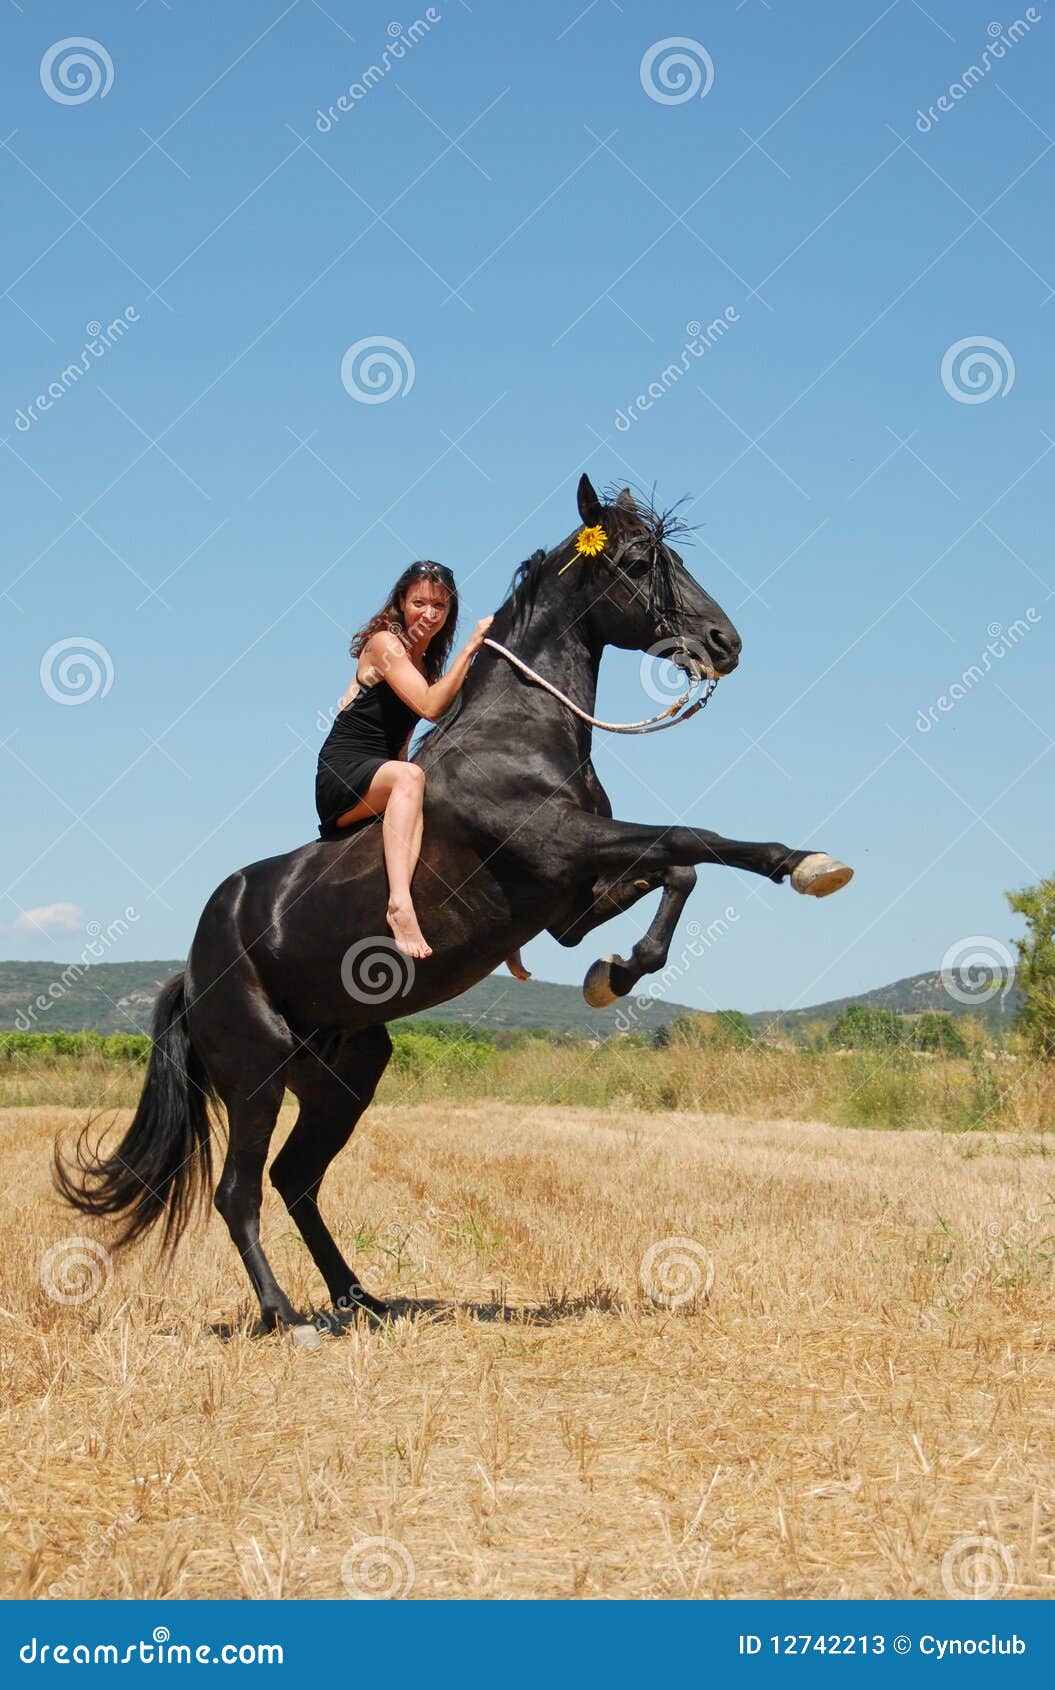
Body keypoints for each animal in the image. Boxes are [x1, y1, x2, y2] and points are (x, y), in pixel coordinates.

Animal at [55, 474, 853, 1335]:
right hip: (255, 1074)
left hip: (343, 1073)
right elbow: (693, 838)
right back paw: (287, 1318)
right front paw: (805, 866)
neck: (520, 732)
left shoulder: (569, 901)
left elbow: (677, 870)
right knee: (239, 1193)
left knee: (296, 1179)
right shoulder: (565, 848)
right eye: (641, 561)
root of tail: (192, 971)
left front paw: (614, 974)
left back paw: (362, 1300)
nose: (723, 642)